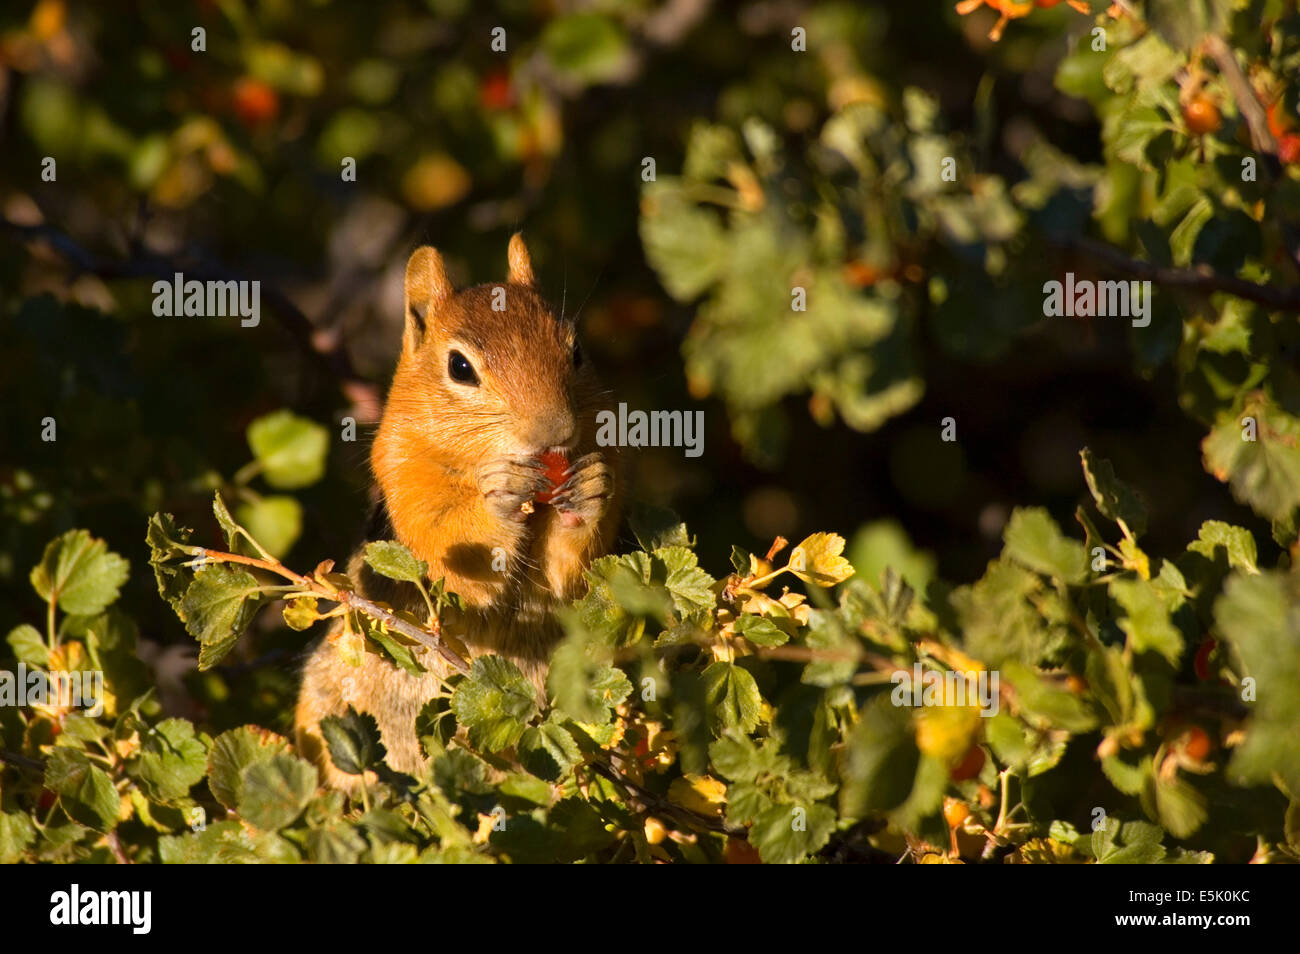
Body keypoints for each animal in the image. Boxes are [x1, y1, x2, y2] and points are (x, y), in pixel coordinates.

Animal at [294, 234, 619, 792]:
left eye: (577, 351)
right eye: (460, 368)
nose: (555, 432)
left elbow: (567, 578)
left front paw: (589, 491)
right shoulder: (402, 474)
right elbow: (453, 558)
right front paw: (498, 497)